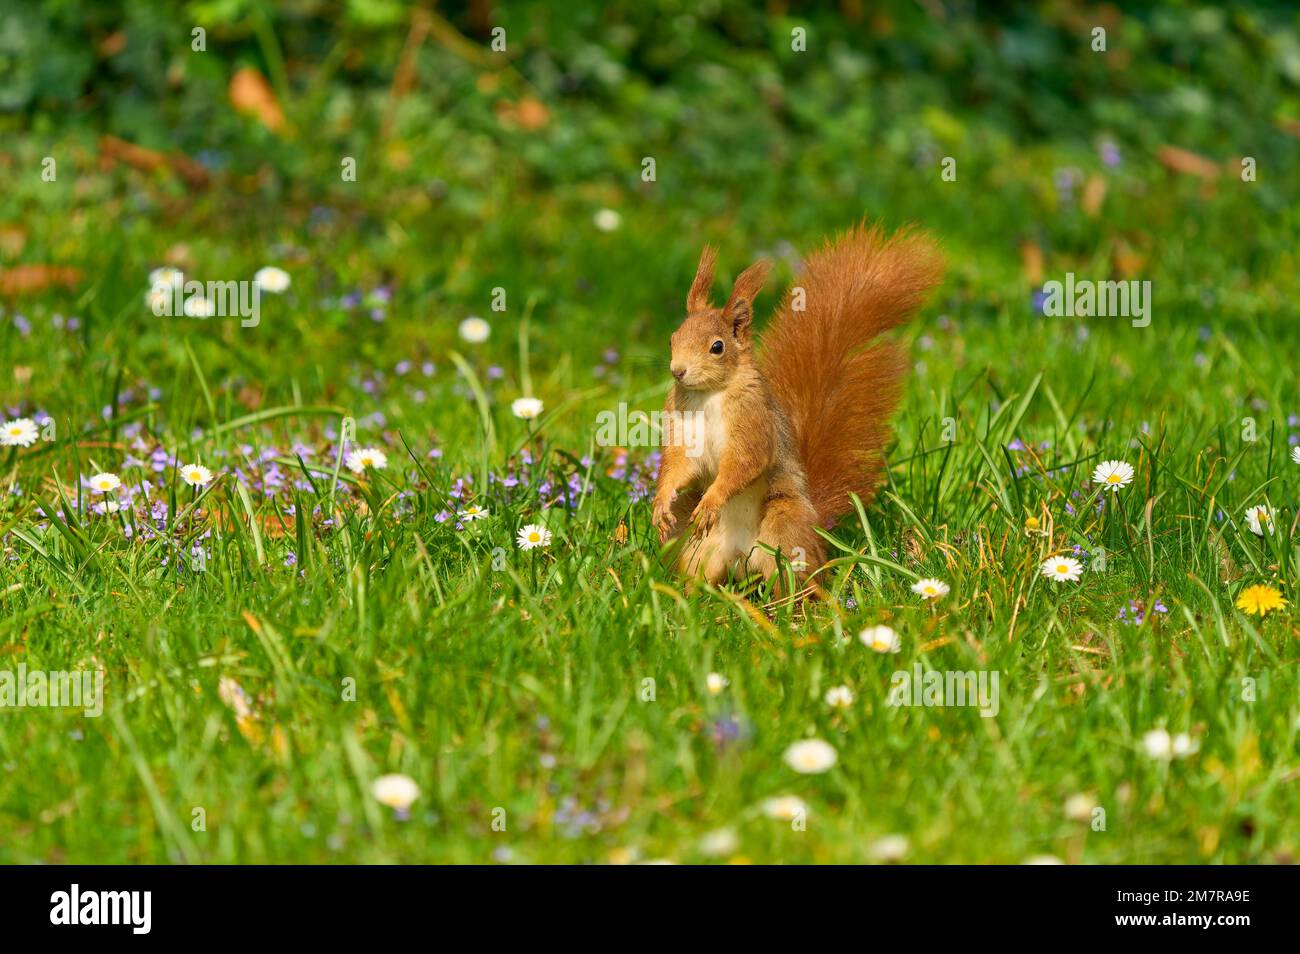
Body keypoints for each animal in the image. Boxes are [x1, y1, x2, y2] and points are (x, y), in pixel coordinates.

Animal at [651, 223, 944, 586]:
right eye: (672, 338)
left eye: (717, 347)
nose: (678, 371)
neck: (709, 394)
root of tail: (740, 557)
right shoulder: (681, 423)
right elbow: (678, 463)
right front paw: (660, 502)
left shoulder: (754, 419)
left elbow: (745, 461)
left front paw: (712, 501)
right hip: (696, 550)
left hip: (785, 528)